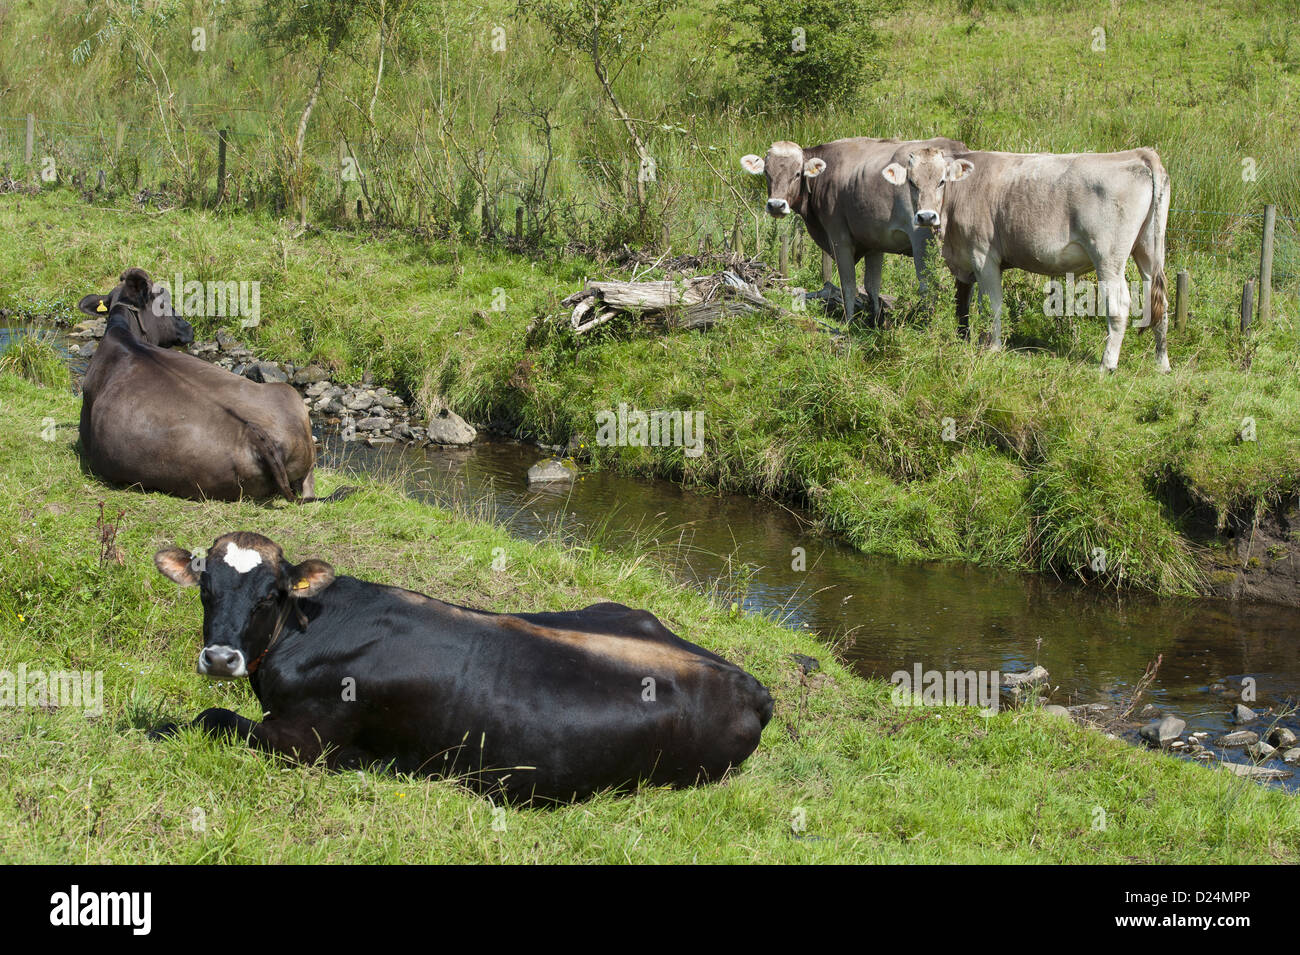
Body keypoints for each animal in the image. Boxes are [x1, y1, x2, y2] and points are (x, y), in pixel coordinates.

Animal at [151, 532, 775, 803]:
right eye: (206, 589)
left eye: (270, 595)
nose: (220, 657)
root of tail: (751, 684)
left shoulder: (304, 739)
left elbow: (210, 717)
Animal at [740, 136, 966, 325]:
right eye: (767, 173)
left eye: (797, 174)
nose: (776, 205)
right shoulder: (875, 243)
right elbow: (872, 285)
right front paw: (875, 321)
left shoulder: (839, 239)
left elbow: (848, 284)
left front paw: (849, 322)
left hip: (923, 243)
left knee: (929, 289)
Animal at [880, 146, 1171, 372]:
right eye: (912, 182)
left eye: (941, 181)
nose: (926, 216)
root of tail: (1138, 154)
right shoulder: (966, 261)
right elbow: (967, 304)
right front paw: (972, 340)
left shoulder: (983, 256)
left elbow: (993, 305)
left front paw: (993, 348)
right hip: (1148, 251)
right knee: (1160, 302)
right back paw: (1162, 363)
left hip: (1108, 258)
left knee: (1119, 305)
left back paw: (1107, 364)